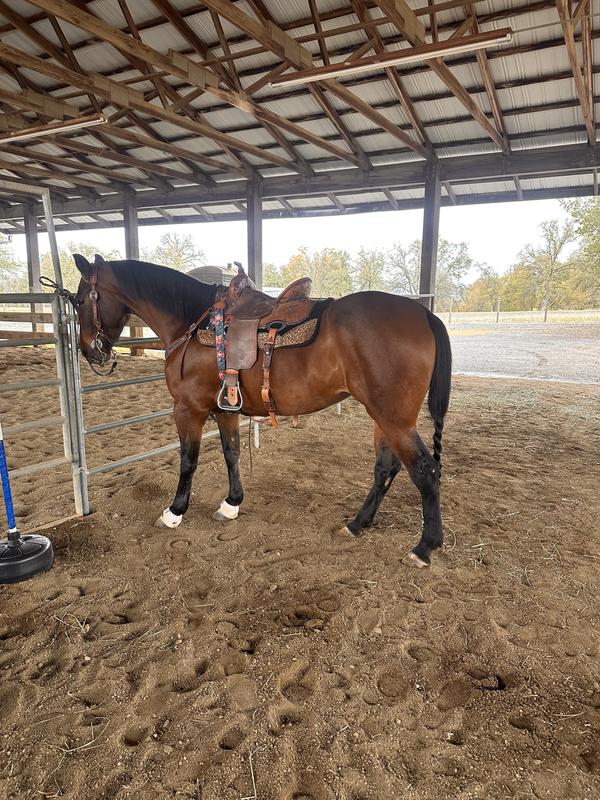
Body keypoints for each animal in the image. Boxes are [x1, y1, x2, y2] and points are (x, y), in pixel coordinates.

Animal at [70, 254, 451, 568]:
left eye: (80, 300)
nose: (90, 351)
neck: (193, 322)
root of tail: (423, 313)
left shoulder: (188, 410)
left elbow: (188, 461)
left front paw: (174, 512)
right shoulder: (225, 408)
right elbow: (232, 453)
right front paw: (231, 504)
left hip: (394, 419)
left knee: (425, 470)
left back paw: (424, 547)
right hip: (382, 418)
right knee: (386, 468)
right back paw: (358, 524)